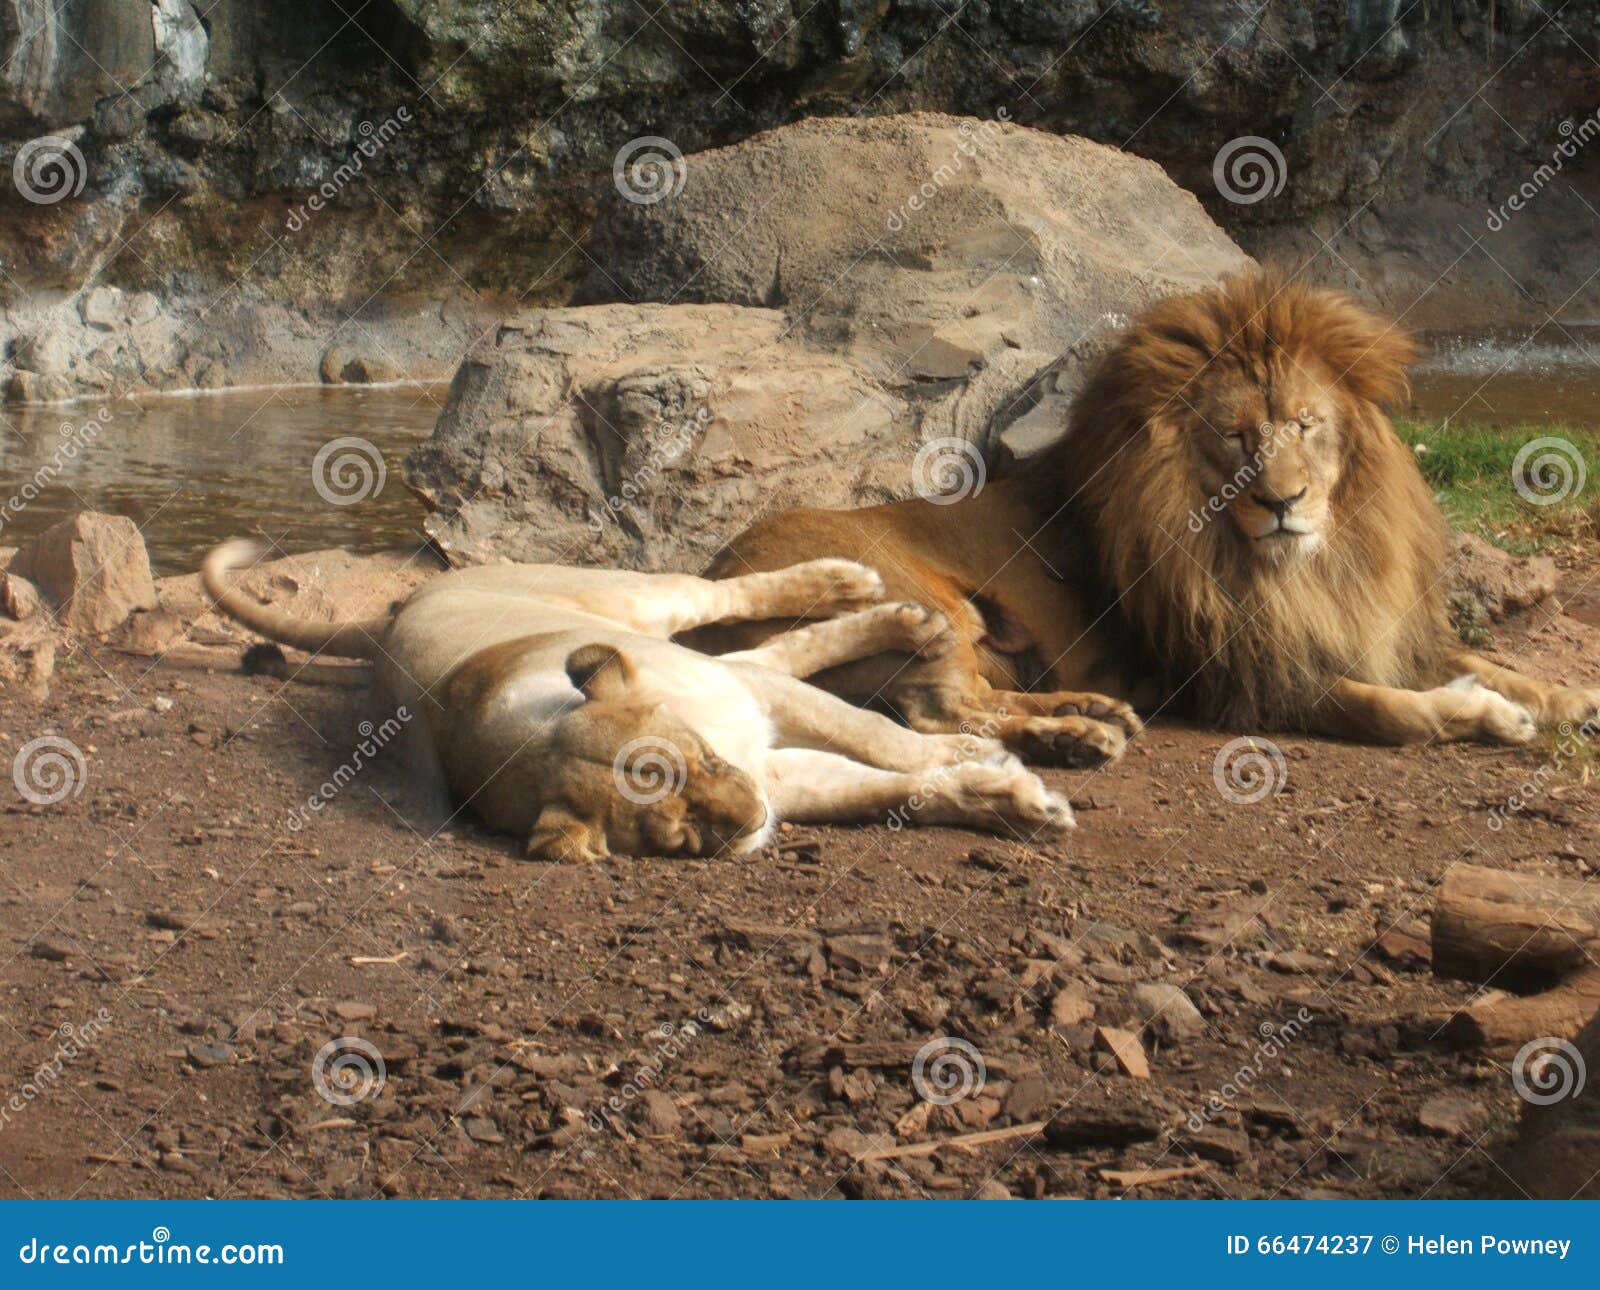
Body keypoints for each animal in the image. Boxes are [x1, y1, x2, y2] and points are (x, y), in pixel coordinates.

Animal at [202, 543, 1072, 861]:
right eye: (677, 836)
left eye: (698, 761)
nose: (748, 823)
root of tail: (393, 612)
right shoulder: (771, 769)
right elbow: (889, 789)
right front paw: (1012, 799)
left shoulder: (752, 719)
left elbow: (883, 741)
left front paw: (983, 756)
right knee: (773, 648)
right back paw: (907, 622)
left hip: (638, 604)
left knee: (727, 600)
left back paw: (865, 593)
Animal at [697, 270, 1600, 753]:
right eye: (1236, 437)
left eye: (1306, 424)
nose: (1284, 502)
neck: (1292, 570)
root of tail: (713, 579)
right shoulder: (1237, 679)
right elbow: (1393, 710)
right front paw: (1487, 715)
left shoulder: (1368, 630)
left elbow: (1491, 663)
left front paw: (1571, 699)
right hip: (919, 602)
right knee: (941, 711)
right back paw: (1081, 737)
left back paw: (1088, 718)